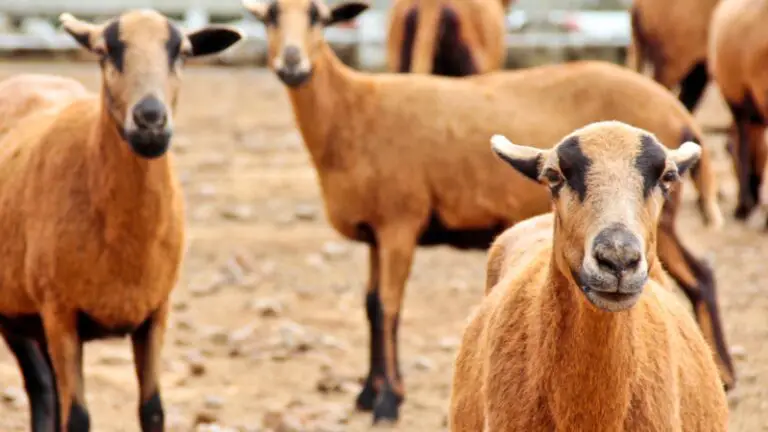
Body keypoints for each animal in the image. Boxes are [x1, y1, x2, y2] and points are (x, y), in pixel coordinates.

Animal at [0, 10, 242, 431]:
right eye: (104, 51)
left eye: (183, 52)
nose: (150, 120)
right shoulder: (60, 313)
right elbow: (77, 418)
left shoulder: (156, 311)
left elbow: (153, 410)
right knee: (43, 389)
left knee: (44, 390)